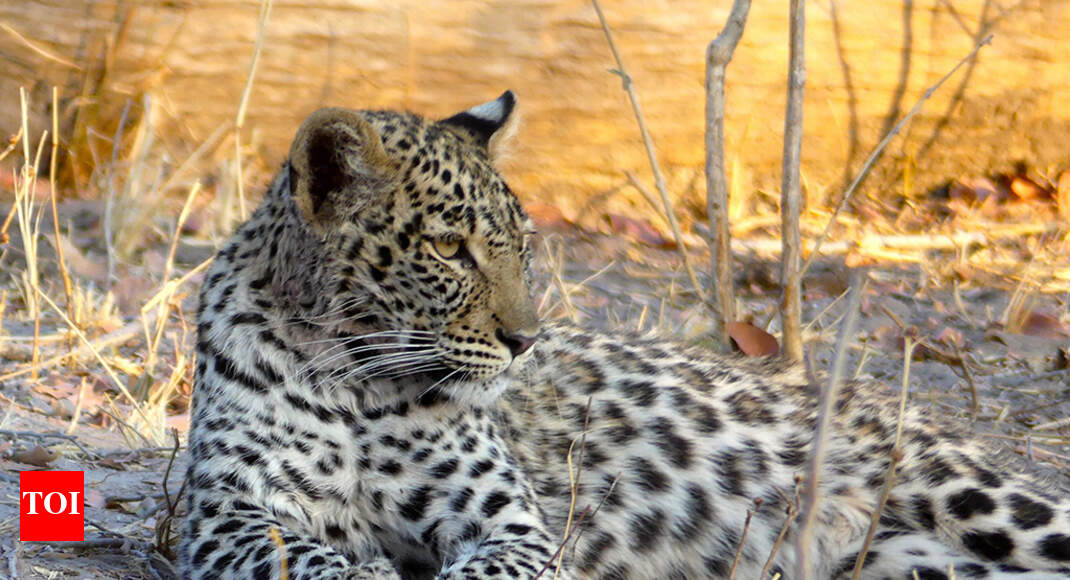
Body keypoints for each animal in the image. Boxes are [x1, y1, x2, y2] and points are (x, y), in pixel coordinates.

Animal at [179, 90, 1070, 580]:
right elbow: (302, 558)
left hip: (963, 494)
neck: (357, 384)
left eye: (521, 246)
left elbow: (489, 569)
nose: (526, 341)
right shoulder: (228, 512)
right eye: (448, 249)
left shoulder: (513, 525)